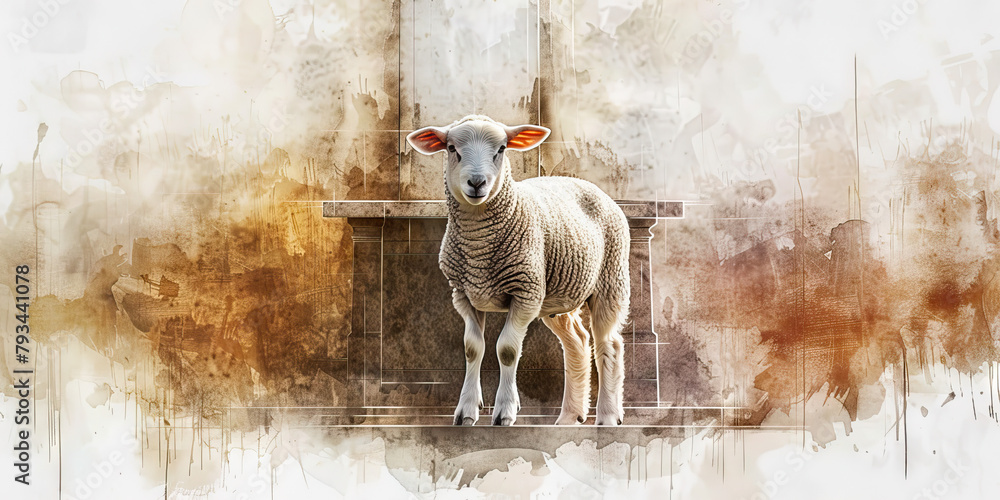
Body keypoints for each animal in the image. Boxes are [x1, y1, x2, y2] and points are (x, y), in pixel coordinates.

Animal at [406, 115, 630, 426]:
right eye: (451, 148)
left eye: (501, 149)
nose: (477, 183)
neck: (479, 250)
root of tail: (587, 184)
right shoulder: (463, 294)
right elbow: (472, 349)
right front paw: (466, 411)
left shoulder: (524, 293)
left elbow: (507, 350)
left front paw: (504, 412)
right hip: (557, 297)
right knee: (578, 342)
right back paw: (569, 417)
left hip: (610, 280)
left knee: (609, 345)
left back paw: (608, 416)